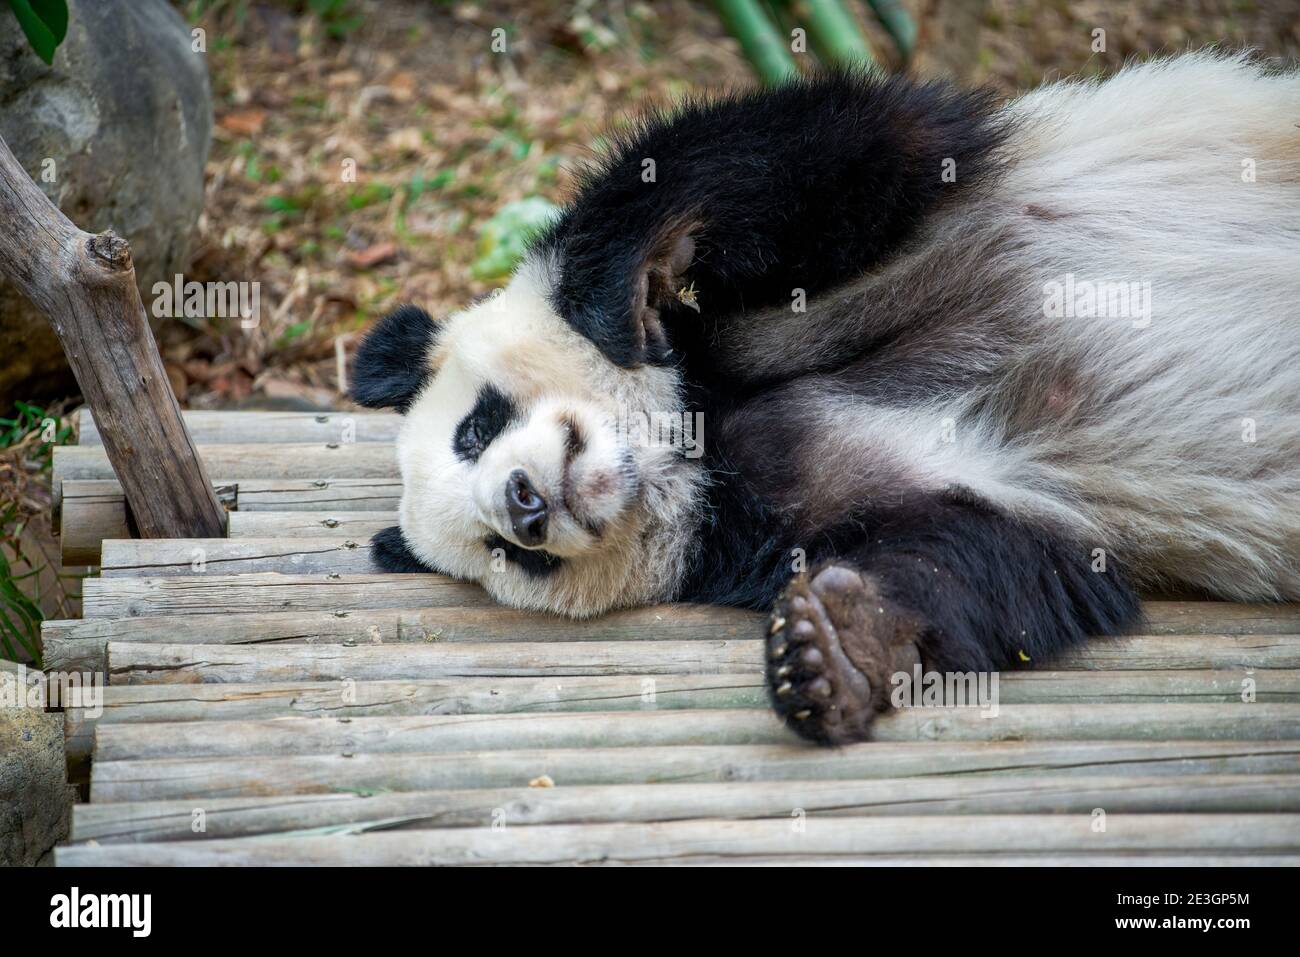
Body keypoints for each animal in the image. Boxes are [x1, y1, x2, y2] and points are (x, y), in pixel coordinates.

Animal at [351, 52, 1300, 746]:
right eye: (506, 554)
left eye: (477, 426)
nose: (523, 504)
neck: (693, 443)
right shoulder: (806, 513)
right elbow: (995, 564)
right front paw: (830, 650)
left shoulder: (834, 262)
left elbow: (830, 155)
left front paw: (620, 290)